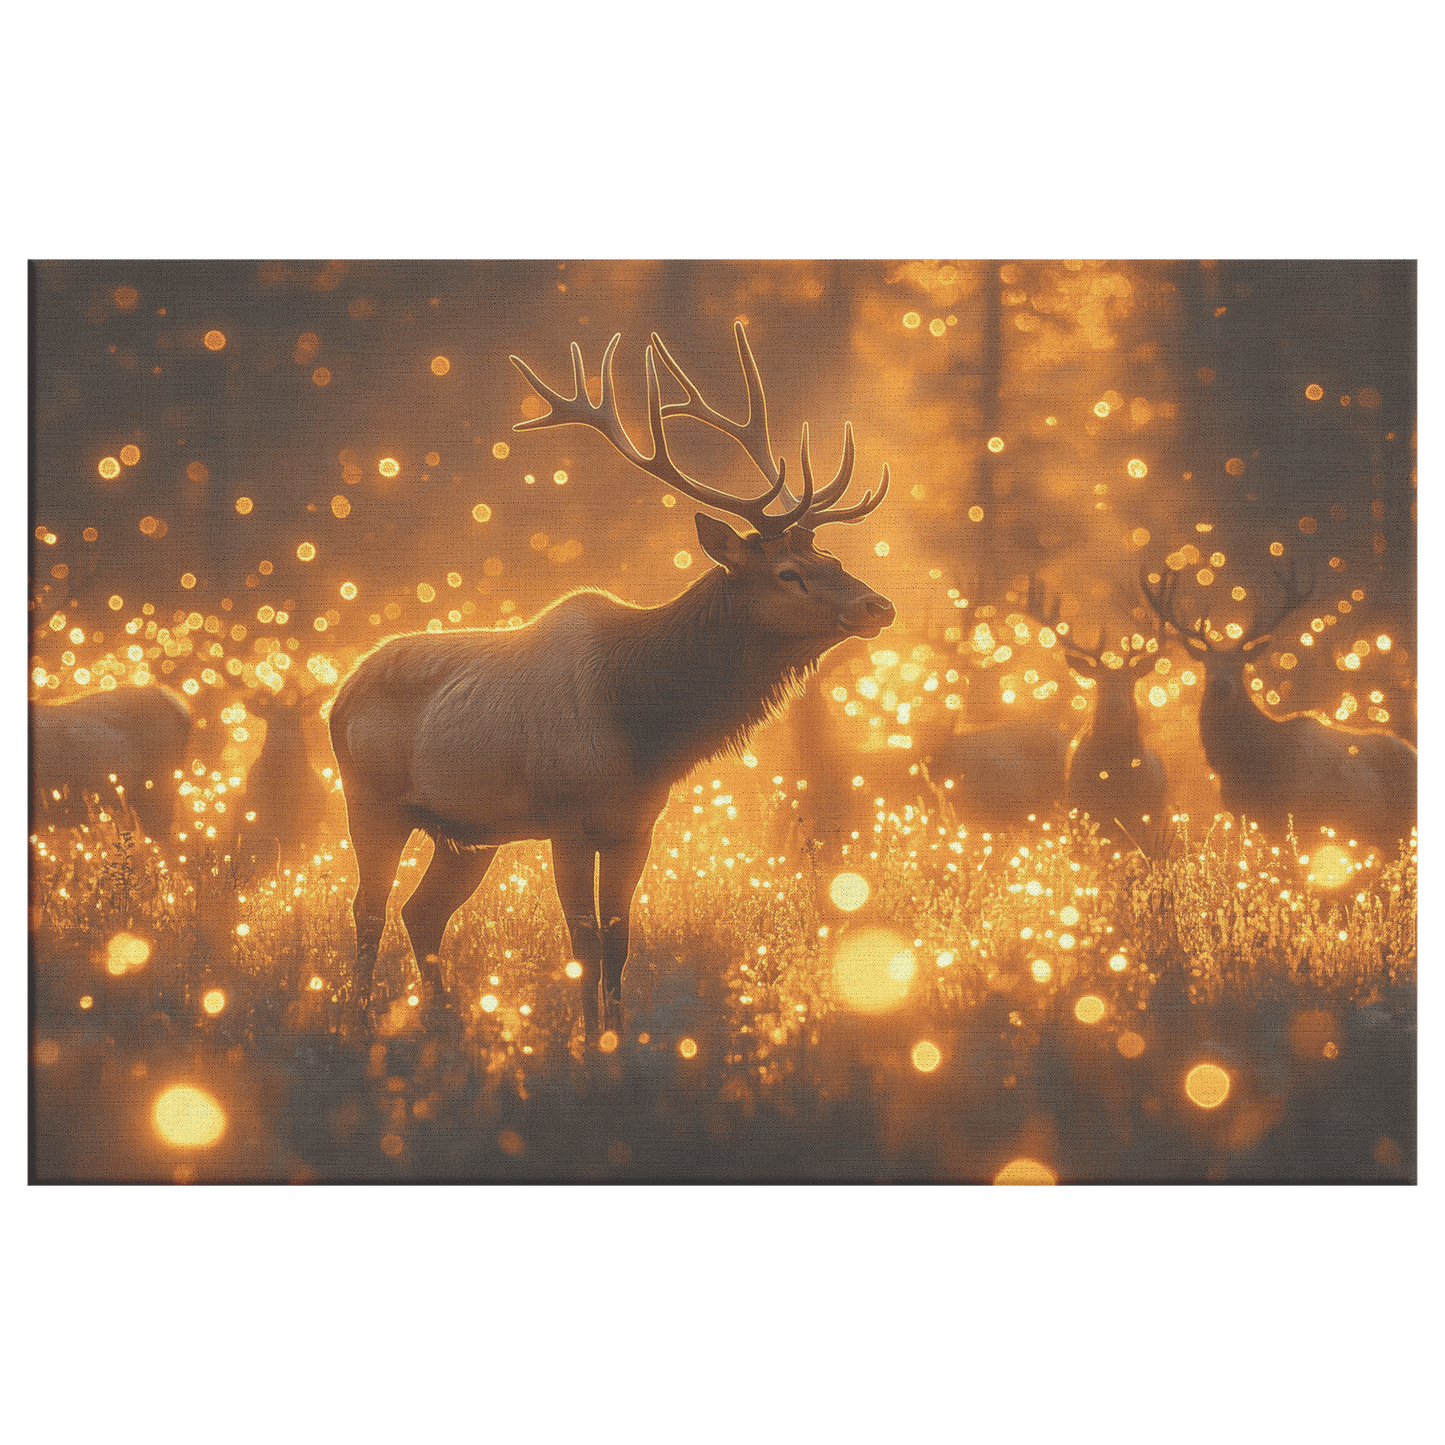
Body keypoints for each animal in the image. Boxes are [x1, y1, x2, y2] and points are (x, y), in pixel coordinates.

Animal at [328, 323, 894, 1039]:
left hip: (465, 833)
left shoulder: (636, 826)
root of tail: (341, 691)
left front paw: (615, 1040)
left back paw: (440, 1023)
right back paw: (358, 1020)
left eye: (832, 558)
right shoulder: (567, 820)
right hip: (370, 800)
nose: (879, 605)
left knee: (421, 913)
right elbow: (585, 942)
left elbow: (621, 941)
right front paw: (585, 1043)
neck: (642, 730)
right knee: (368, 908)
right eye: (788, 573)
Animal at [1141, 558, 1417, 854]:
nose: (1221, 685)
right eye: (1206, 665)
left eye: (1241, 665)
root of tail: (1414, 753)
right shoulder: (1252, 818)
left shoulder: (1298, 814)